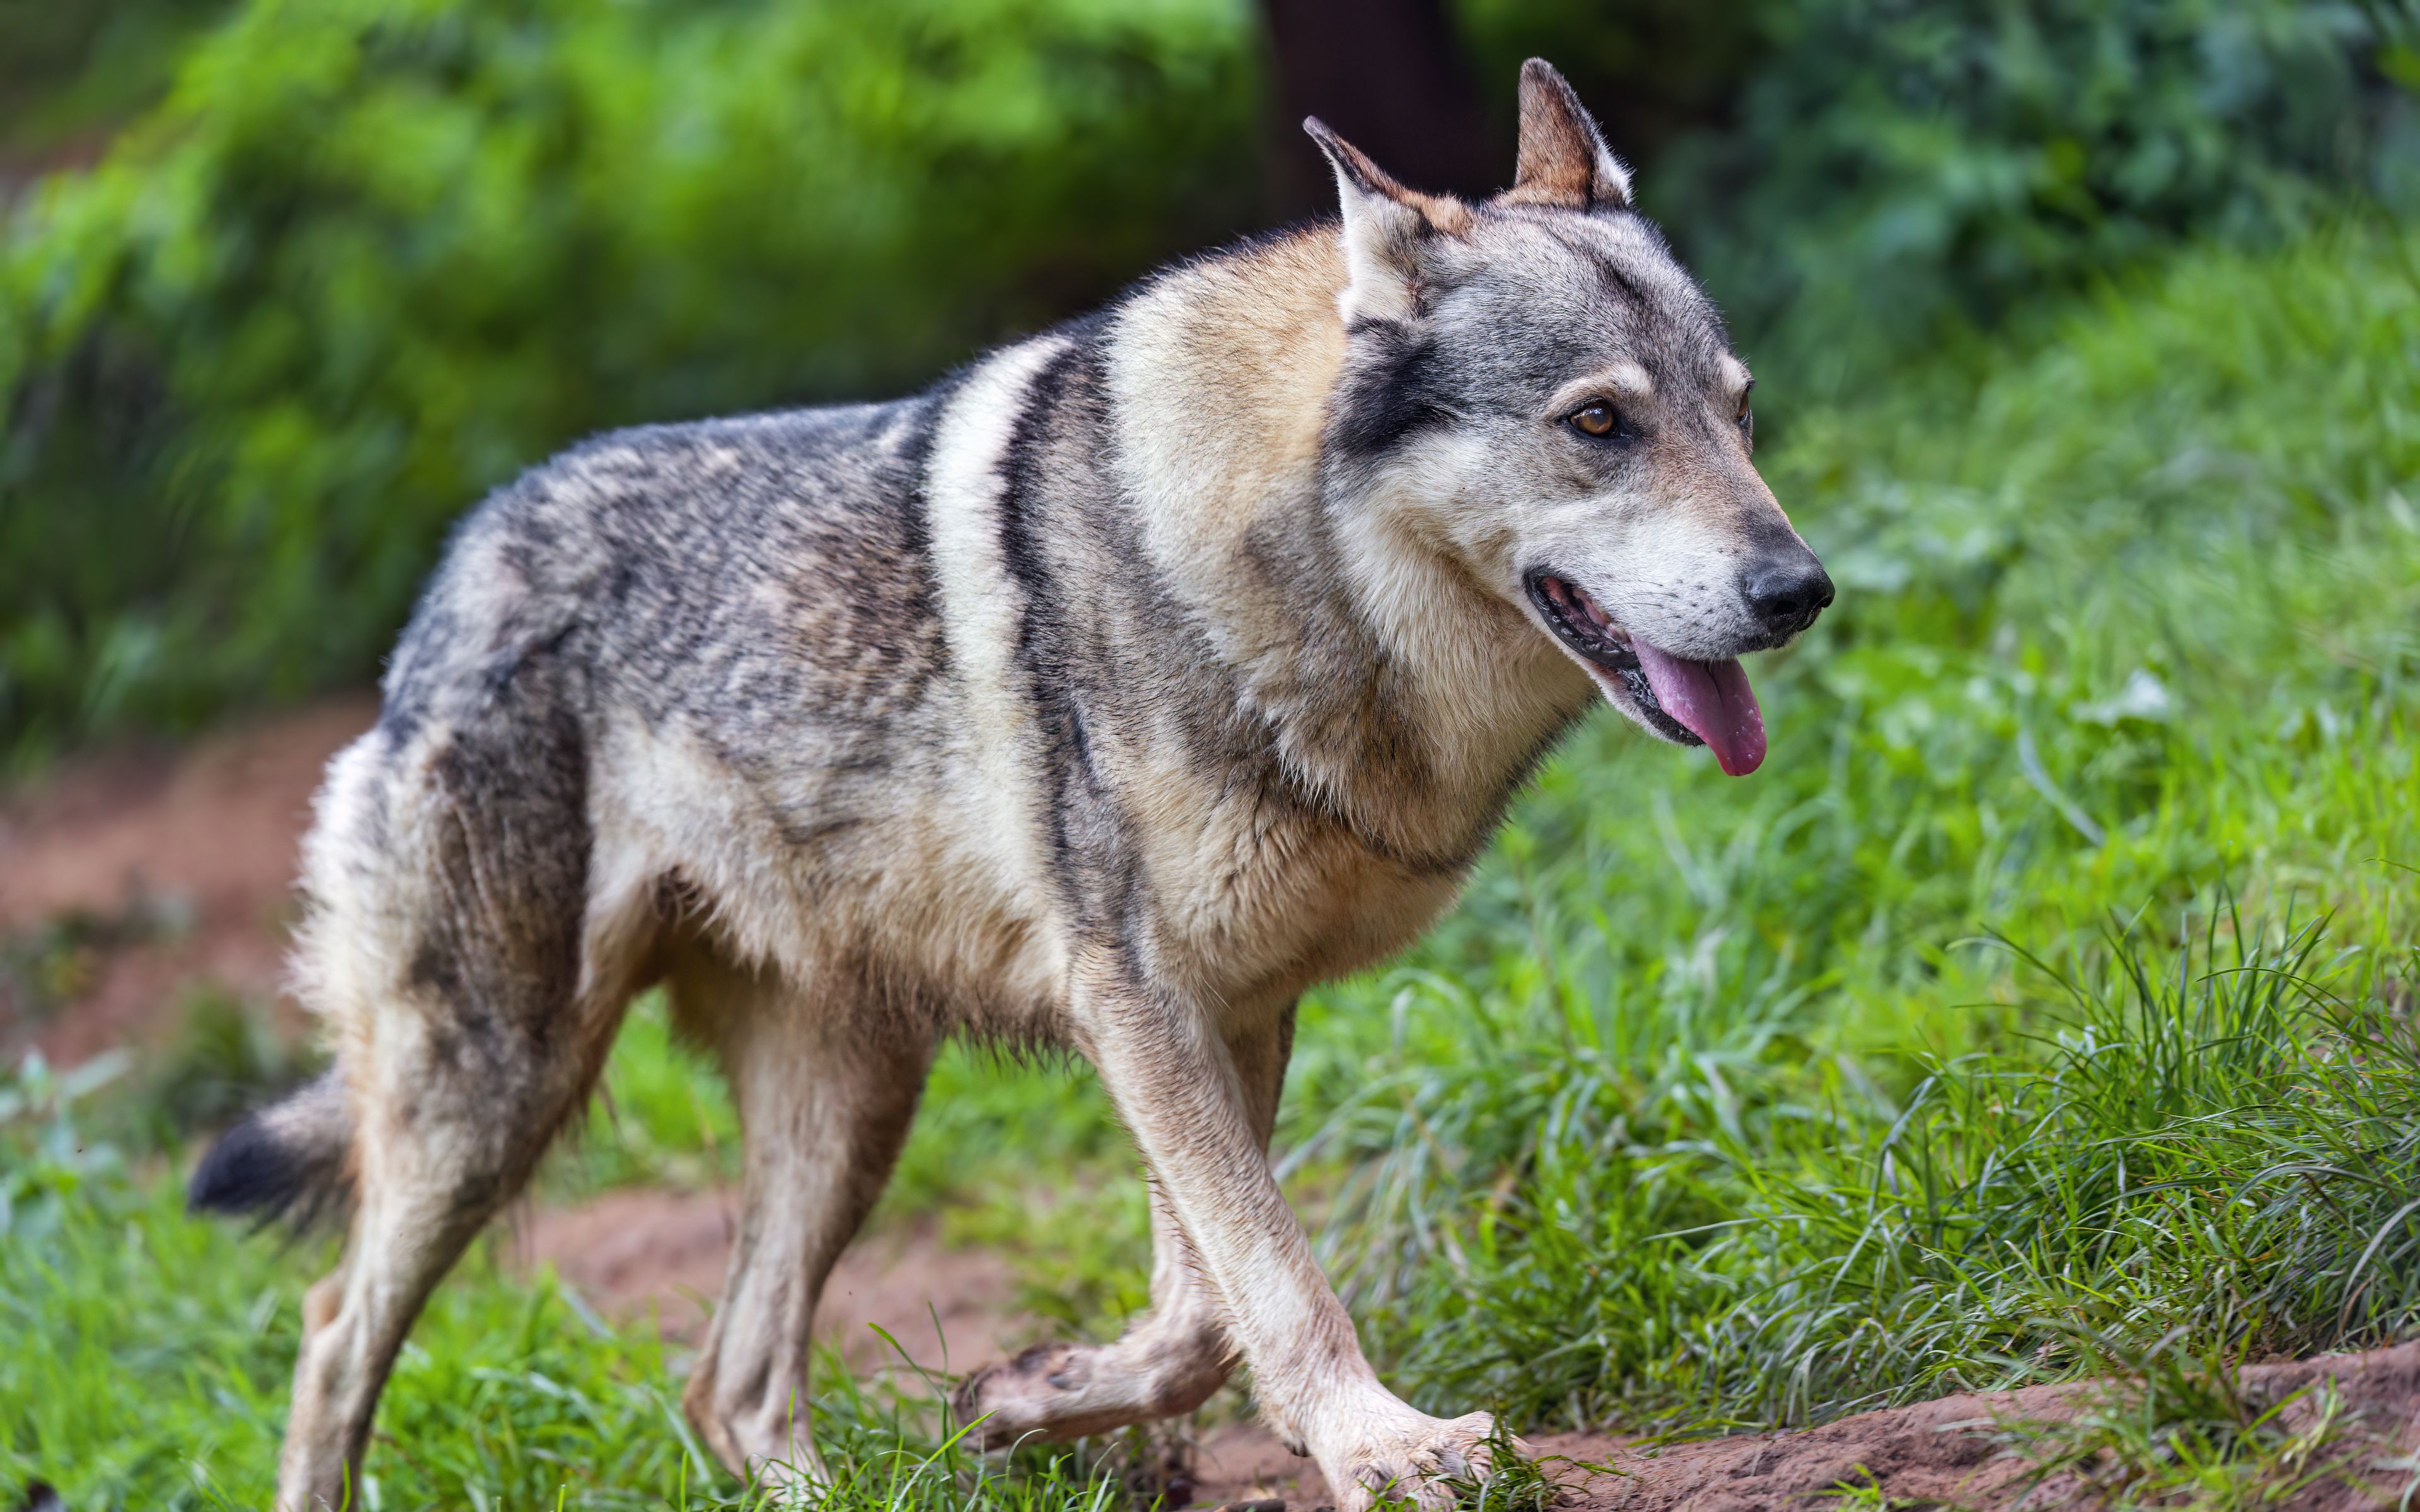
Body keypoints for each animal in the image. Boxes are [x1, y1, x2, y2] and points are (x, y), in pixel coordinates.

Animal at [189, 59, 1831, 1511]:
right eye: (1599, 422)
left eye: (1741, 410)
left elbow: (1199, 1316)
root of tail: (453, 570)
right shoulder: (1141, 998)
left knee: (728, 1382)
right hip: (498, 1091)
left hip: (847, 1108)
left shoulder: (1227, 1010)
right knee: (333, 1335)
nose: (1799, 589)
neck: (1279, 582)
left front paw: (1031, 1397)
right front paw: (1387, 1451)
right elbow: (1274, 1282)